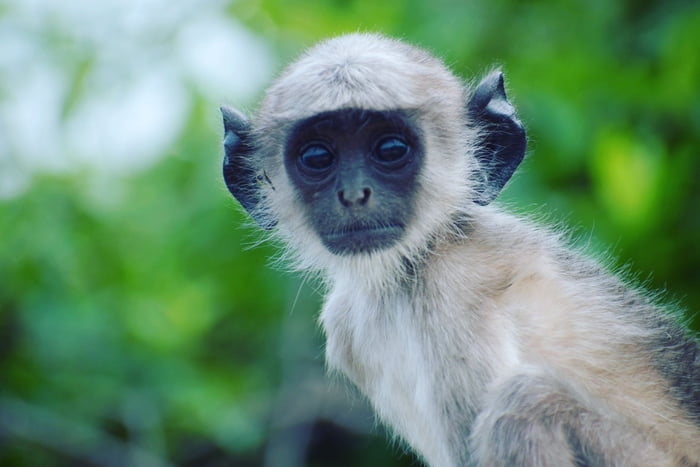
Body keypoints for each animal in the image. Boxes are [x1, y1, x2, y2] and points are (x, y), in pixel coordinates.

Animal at [220, 33, 700, 466]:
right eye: (318, 157)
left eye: (390, 149)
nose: (354, 194)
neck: (407, 272)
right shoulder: (349, 327)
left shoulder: (454, 289)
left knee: (523, 405)